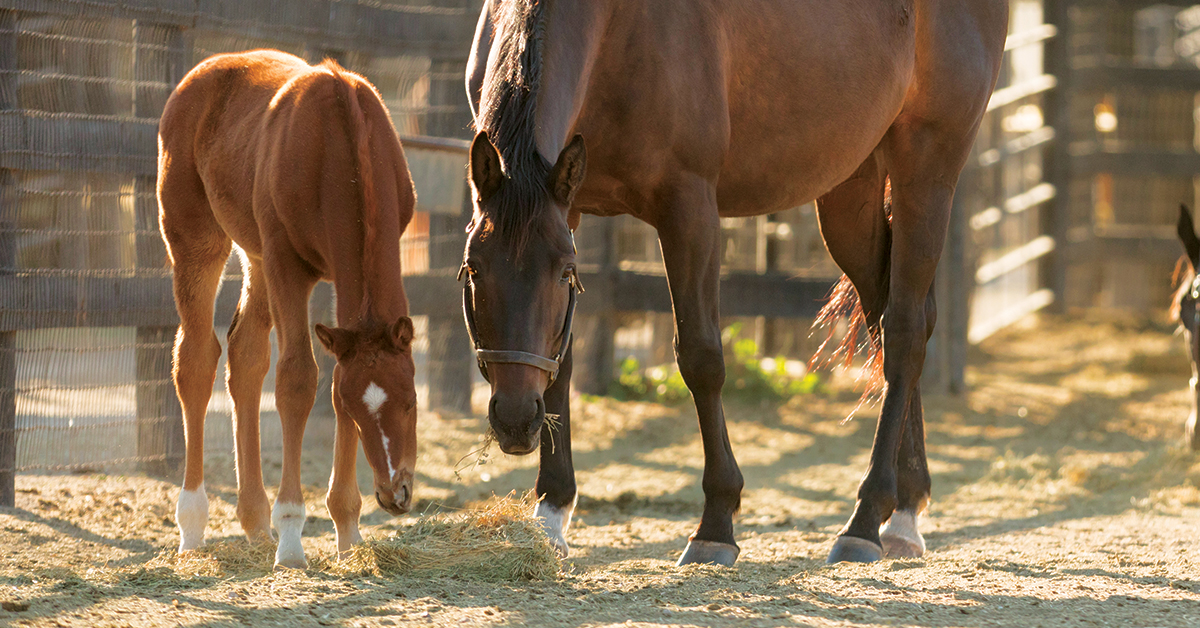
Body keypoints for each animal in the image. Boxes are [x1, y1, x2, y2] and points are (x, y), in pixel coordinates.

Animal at [158, 50, 418, 569]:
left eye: (410, 401)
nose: (394, 495)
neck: (339, 140)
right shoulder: (287, 264)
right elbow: (298, 381)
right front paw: (294, 535)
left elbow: (332, 377)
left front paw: (348, 530)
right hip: (199, 240)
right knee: (196, 359)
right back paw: (194, 525)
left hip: (255, 257)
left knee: (244, 357)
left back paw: (256, 522)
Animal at [461, 0, 1009, 566]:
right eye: (473, 268)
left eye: (563, 272)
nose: (516, 420)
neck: (617, 29)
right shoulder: (571, 206)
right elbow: (563, 359)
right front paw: (552, 511)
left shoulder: (689, 208)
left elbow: (701, 358)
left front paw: (716, 524)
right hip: (850, 191)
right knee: (888, 316)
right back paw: (906, 507)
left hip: (928, 166)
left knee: (903, 332)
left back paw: (866, 519)